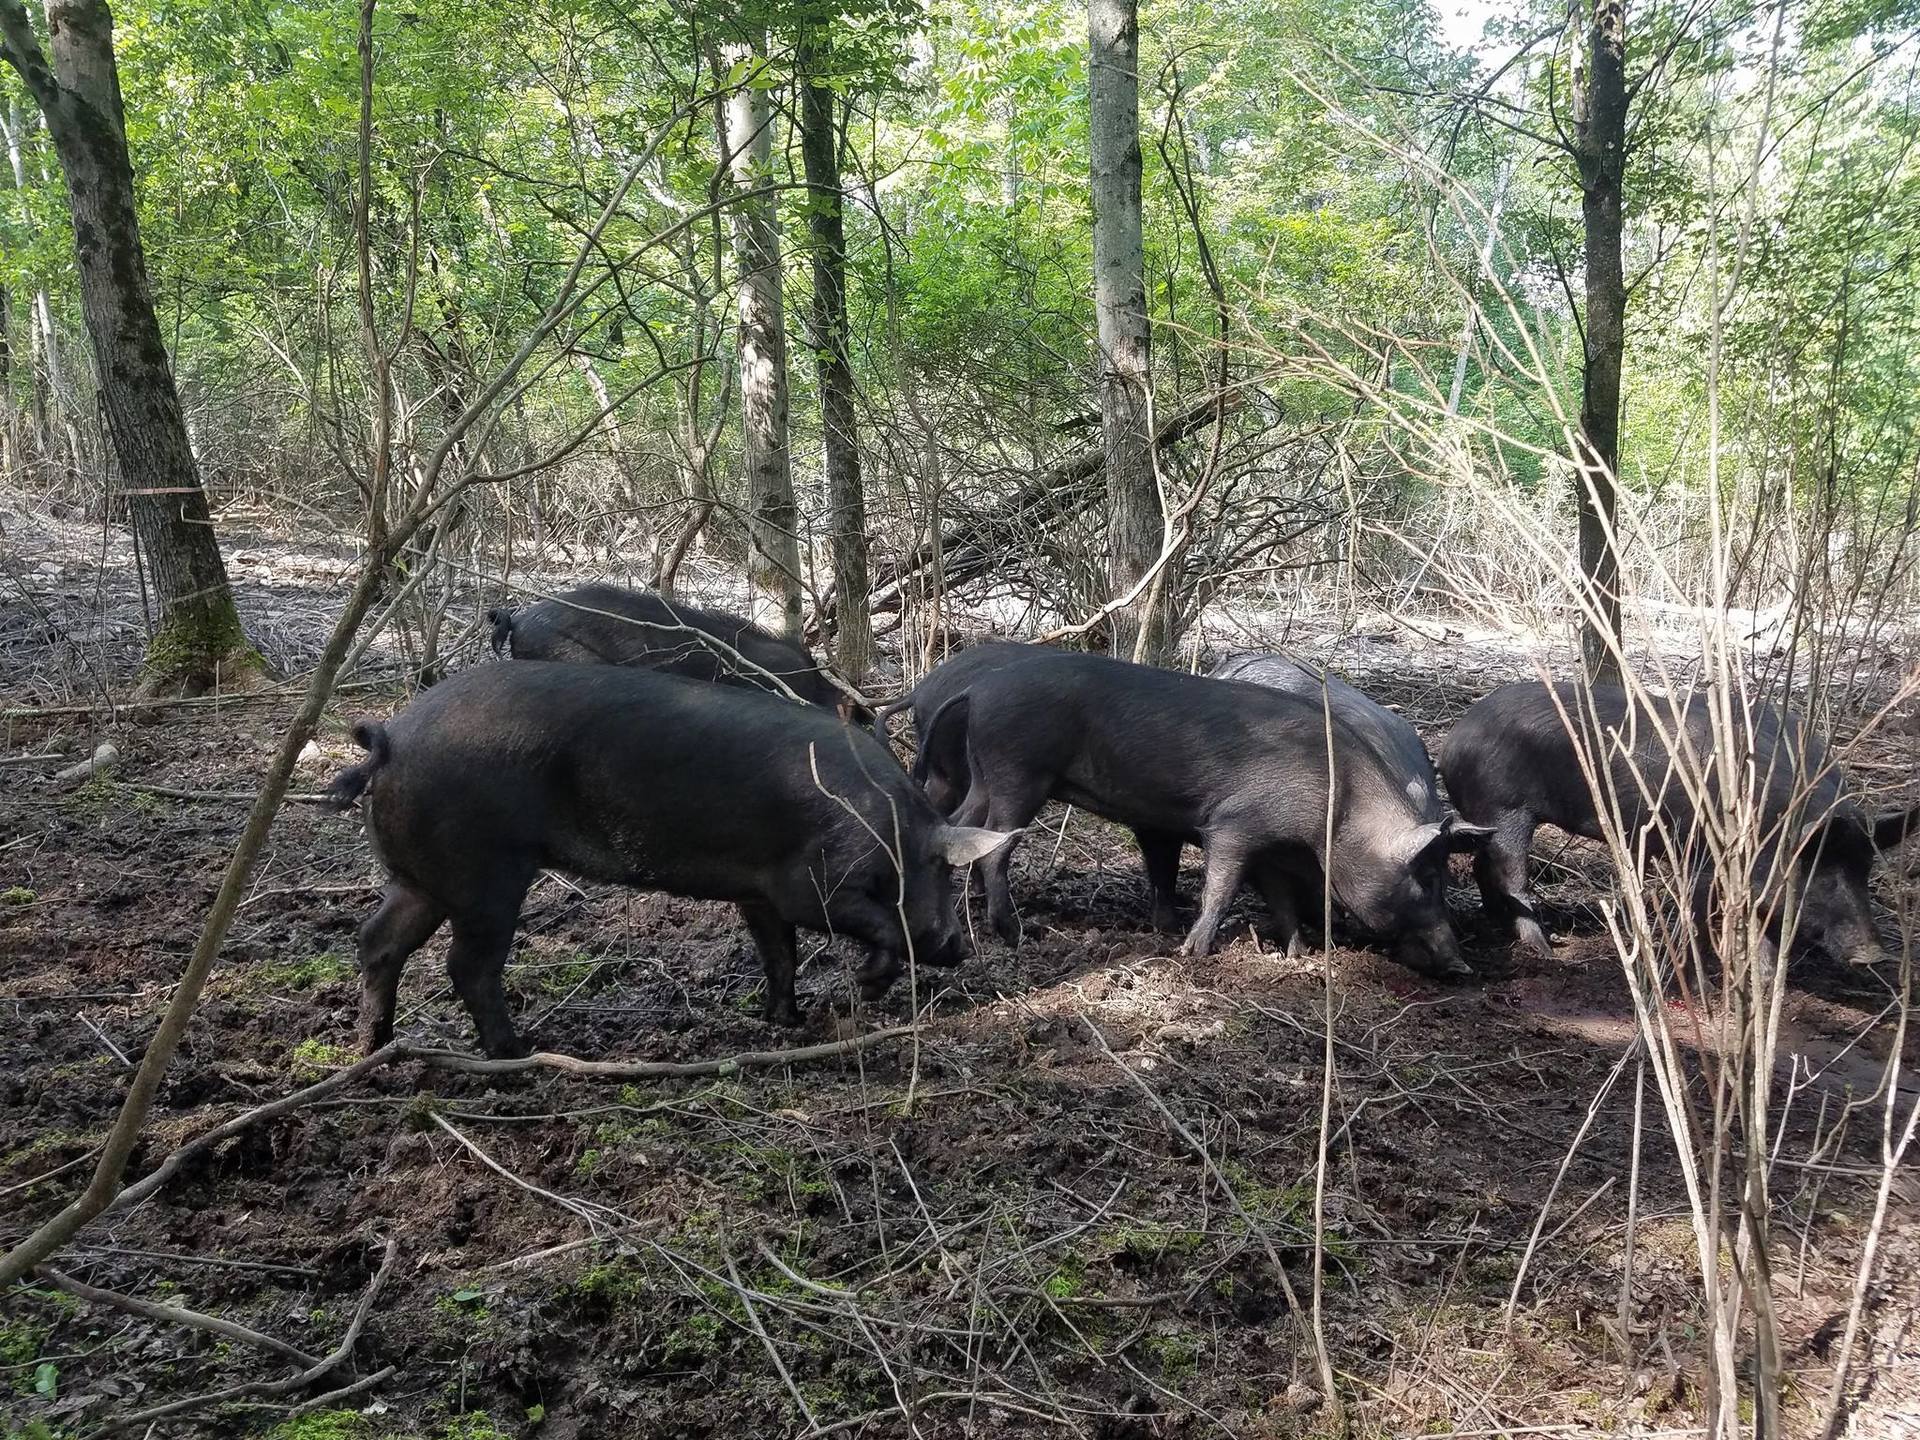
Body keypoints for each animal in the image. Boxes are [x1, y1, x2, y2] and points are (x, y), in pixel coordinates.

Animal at [327, 663, 1014, 1057]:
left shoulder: (758, 891)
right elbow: (879, 925)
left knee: (376, 941)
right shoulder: (809, 885)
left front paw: (786, 1020)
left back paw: (373, 1046)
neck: (891, 827)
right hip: (488, 874)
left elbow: (780, 953)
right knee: (466, 965)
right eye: (944, 871)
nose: (960, 946)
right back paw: (515, 1052)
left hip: (422, 878)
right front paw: (865, 986)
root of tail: (390, 740)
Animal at [922, 650, 1493, 976]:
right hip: (1019, 771)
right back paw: (1016, 932)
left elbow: (1280, 900)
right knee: (996, 845)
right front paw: (1191, 952)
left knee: (963, 828)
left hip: (985, 774)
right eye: (1428, 880)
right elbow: (1220, 885)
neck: (1338, 812)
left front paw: (1296, 954)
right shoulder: (1234, 825)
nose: (1463, 965)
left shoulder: (1272, 851)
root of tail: (978, 689)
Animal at [1438, 680, 1918, 964]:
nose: (1873, 955)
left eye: (1866, 867)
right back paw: (1547, 949)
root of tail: (1454, 738)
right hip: (1505, 809)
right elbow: (1715, 908)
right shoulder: (1703, 850)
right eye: (1813, 864)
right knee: (1509, 874)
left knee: (1484, 867)